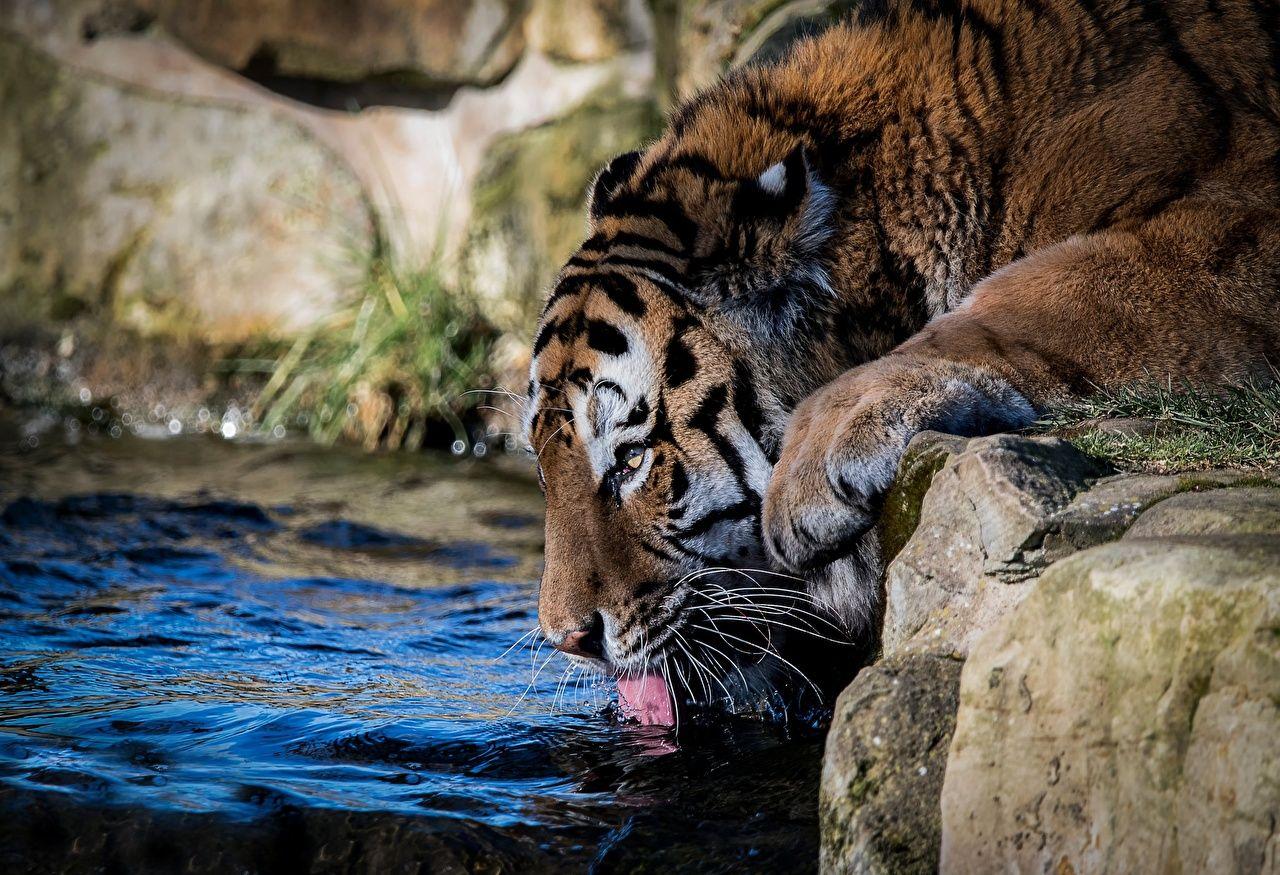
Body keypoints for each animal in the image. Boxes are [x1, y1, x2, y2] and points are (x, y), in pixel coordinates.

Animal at [520, 0, 1280, 723]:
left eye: (630, 459)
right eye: (543, 464)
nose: (567, 639)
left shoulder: (1230, 229)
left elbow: (1035, 294)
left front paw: (819, 454)